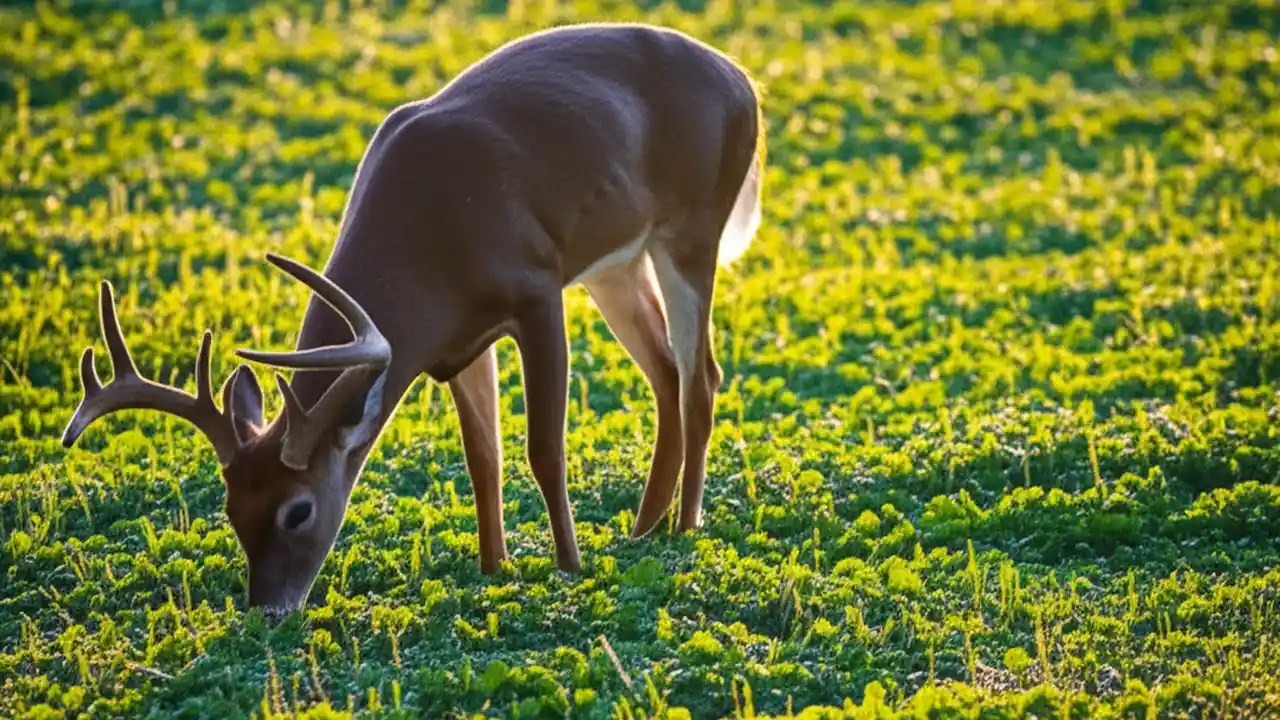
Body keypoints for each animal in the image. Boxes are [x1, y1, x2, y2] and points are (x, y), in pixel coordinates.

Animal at [61, 23, 763, 615]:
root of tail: (744, 82)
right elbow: (483, 458)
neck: (431, 238)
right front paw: (494, 570)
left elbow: (543, 447)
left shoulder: (536, 289)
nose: (267, 609)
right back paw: (643, 530)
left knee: (701, 377)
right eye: (233, 509)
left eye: (298, 511)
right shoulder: (457, 346)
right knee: (667, 374)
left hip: (690, 231)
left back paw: (685, 528)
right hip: (614, 265)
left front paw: (568, 568)